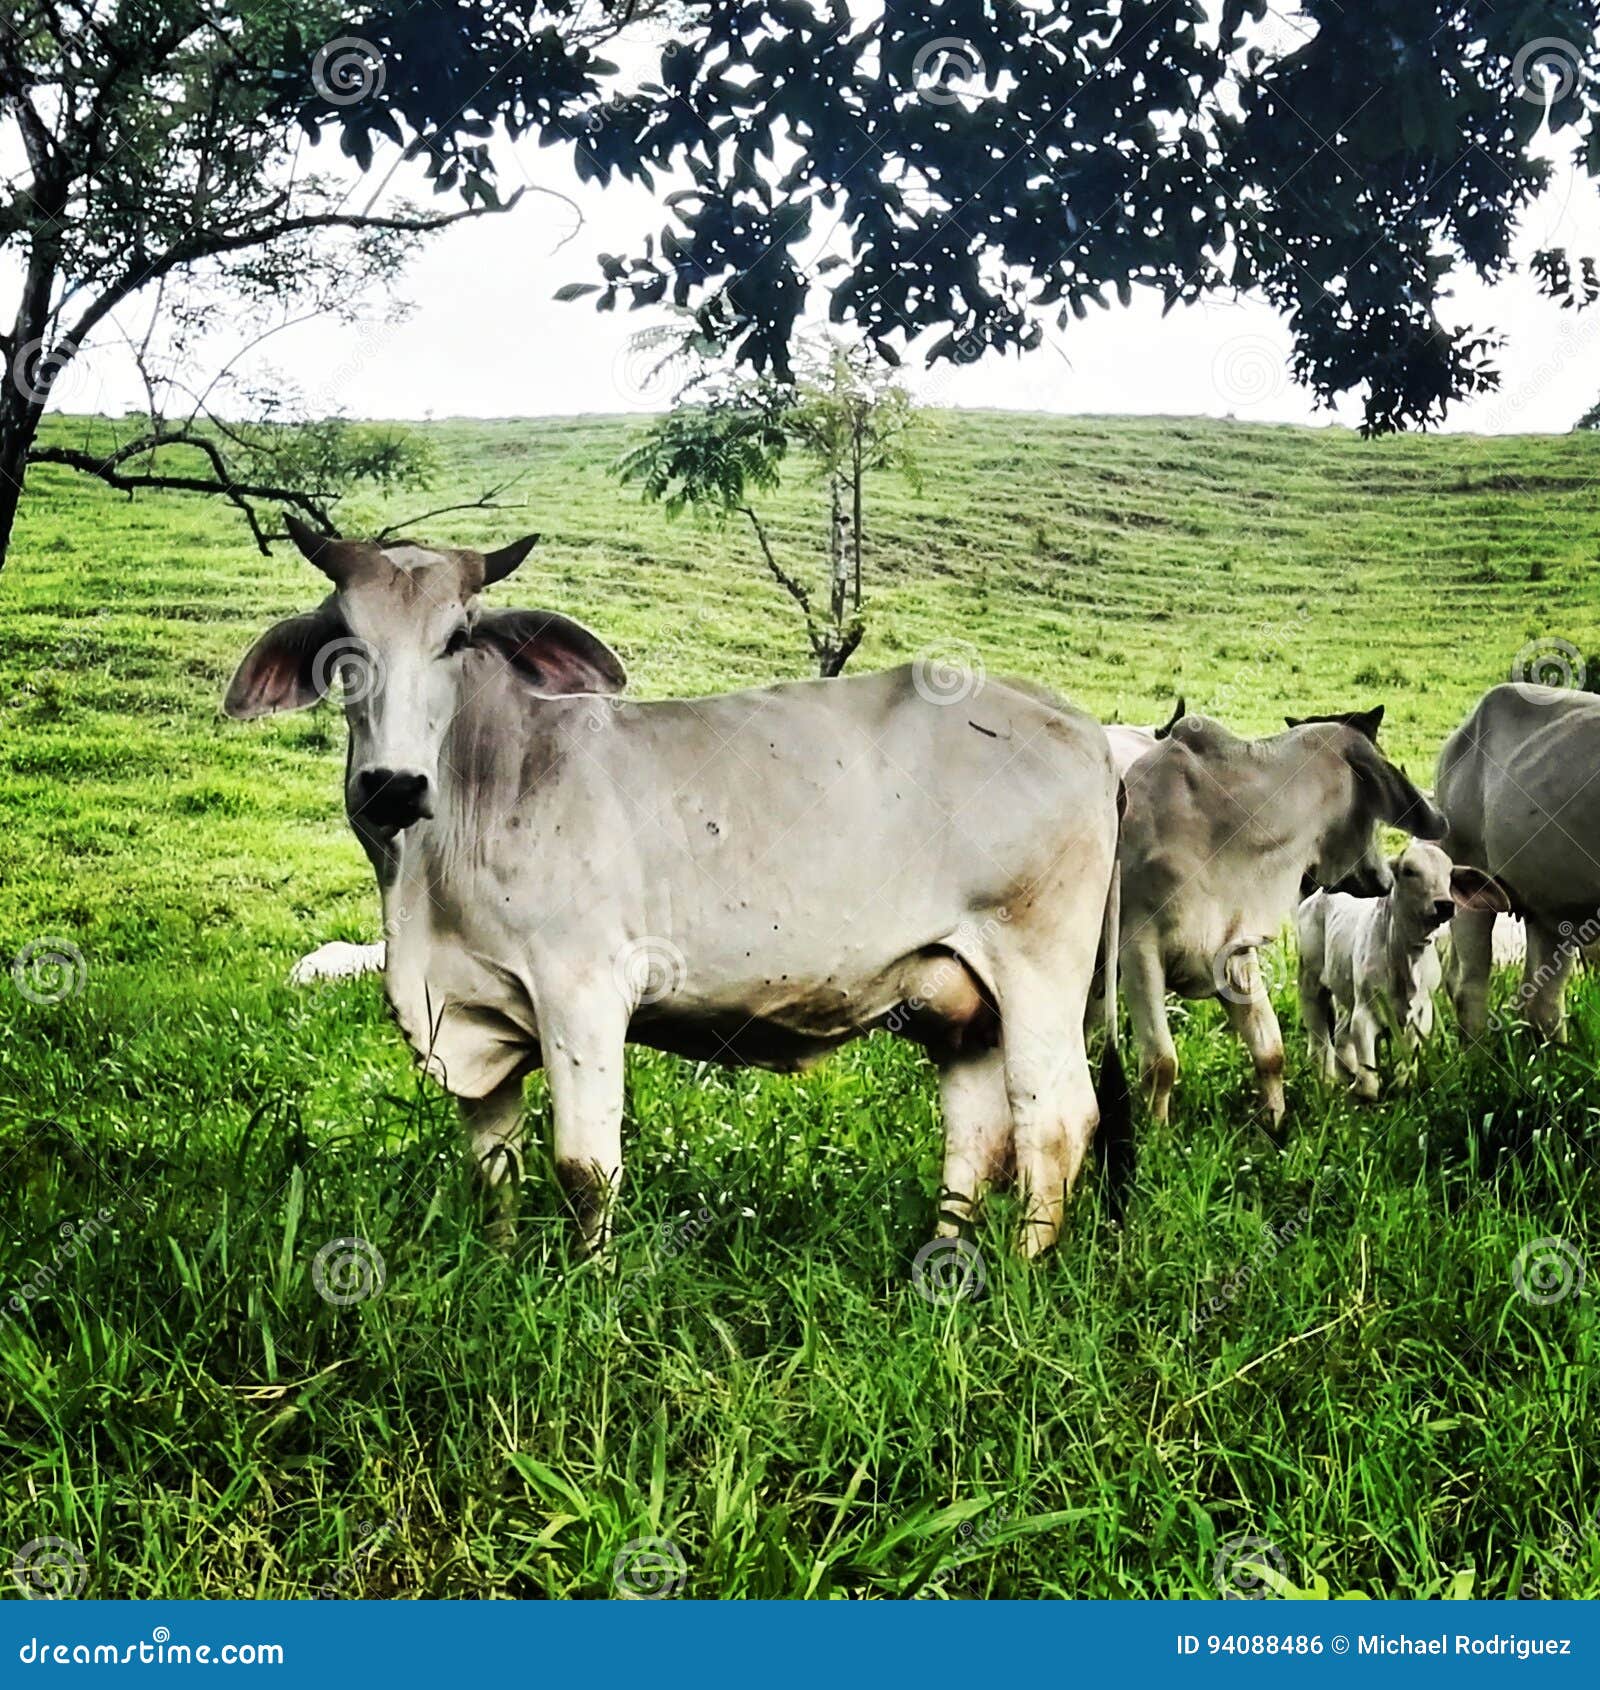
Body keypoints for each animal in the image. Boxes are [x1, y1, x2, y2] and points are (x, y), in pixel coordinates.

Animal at [225, 520, 1128, 1258]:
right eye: (344, 640)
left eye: (459, 635)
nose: (392, 785)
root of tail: (1083, 729)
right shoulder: (470, 1014)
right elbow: (495, 1168)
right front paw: (499, 1264)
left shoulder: (582, 993)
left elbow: (584, 1168)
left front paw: (587, 1291)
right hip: (958, 1002)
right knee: (979, 1138)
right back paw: (942, 1273)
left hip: (1039, 970)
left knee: (1054, 1122)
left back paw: (1019, 1275)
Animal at [1117, 711, 1446, 1126]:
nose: (1384, 879)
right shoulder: (1138, 951)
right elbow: (1161, 1063)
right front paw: (1158, 1133)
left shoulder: (1235, 952)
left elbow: (1270, 1051)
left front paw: (1274, 1122)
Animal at [1296, 840, 1510, 1098]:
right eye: (1409, 871)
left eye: (1449, 874)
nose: (1445, 904)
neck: (1404, 958)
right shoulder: (1365, 1012)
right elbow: (1369, 1086)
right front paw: (1357, 1091)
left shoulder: (1422, 1016)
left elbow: (1404, 1074)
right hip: (1310, 980)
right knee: (1319, 1043)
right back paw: (1326, 1084)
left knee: (1340, 1032)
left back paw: (1345, 1074)